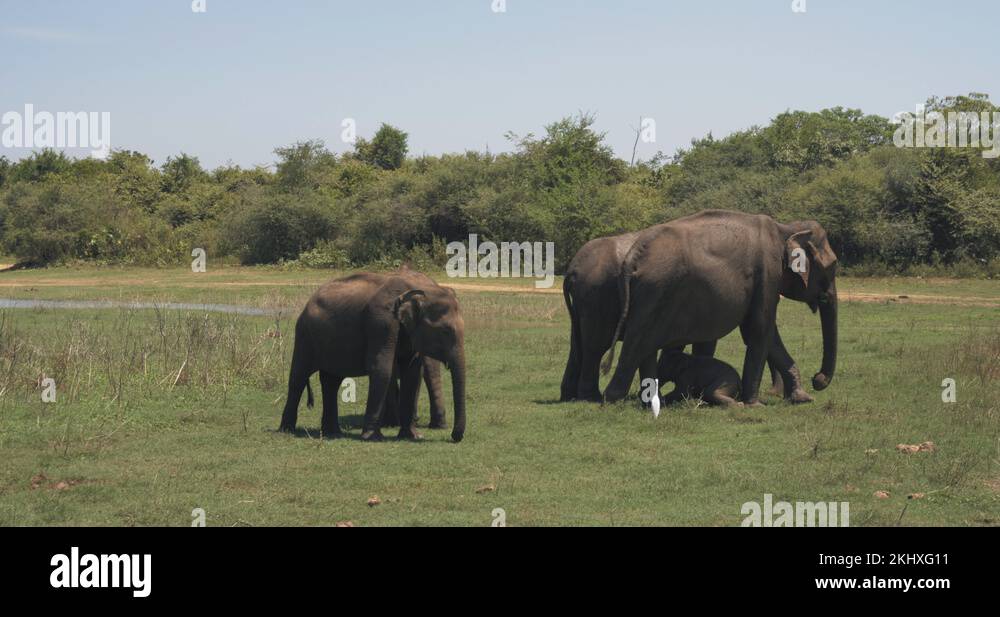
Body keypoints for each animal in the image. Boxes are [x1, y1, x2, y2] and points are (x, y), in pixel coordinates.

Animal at [279, 270, 467, 443]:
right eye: (445, 331)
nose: (453, 437)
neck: (414, 290)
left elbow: (412, 372)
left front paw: (412, 436)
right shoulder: (381, 322)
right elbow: (381, 368)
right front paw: (373, 437)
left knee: (331, 381)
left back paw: (333, 433)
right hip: (304, 334)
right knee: (298, 377)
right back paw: (287, 430)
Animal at [560, 230, 810, 404]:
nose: (774, 392)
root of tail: (571, 270)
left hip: (586, 301)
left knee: (578, 345)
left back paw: (570, 397)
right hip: (596, 296)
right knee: (594, 346)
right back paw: (590, 398)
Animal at [602, 210, 838, 406]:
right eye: (831, 266)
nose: (817, 379)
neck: (786, 229)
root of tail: (633, 255)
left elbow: (768, 335)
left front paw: (802, 398)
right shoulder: (767, 274)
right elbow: (759, 330)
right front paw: (754, 405)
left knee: (645, 344)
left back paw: (649, 401)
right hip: (656, 289)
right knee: (639, 342)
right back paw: (613, 399)